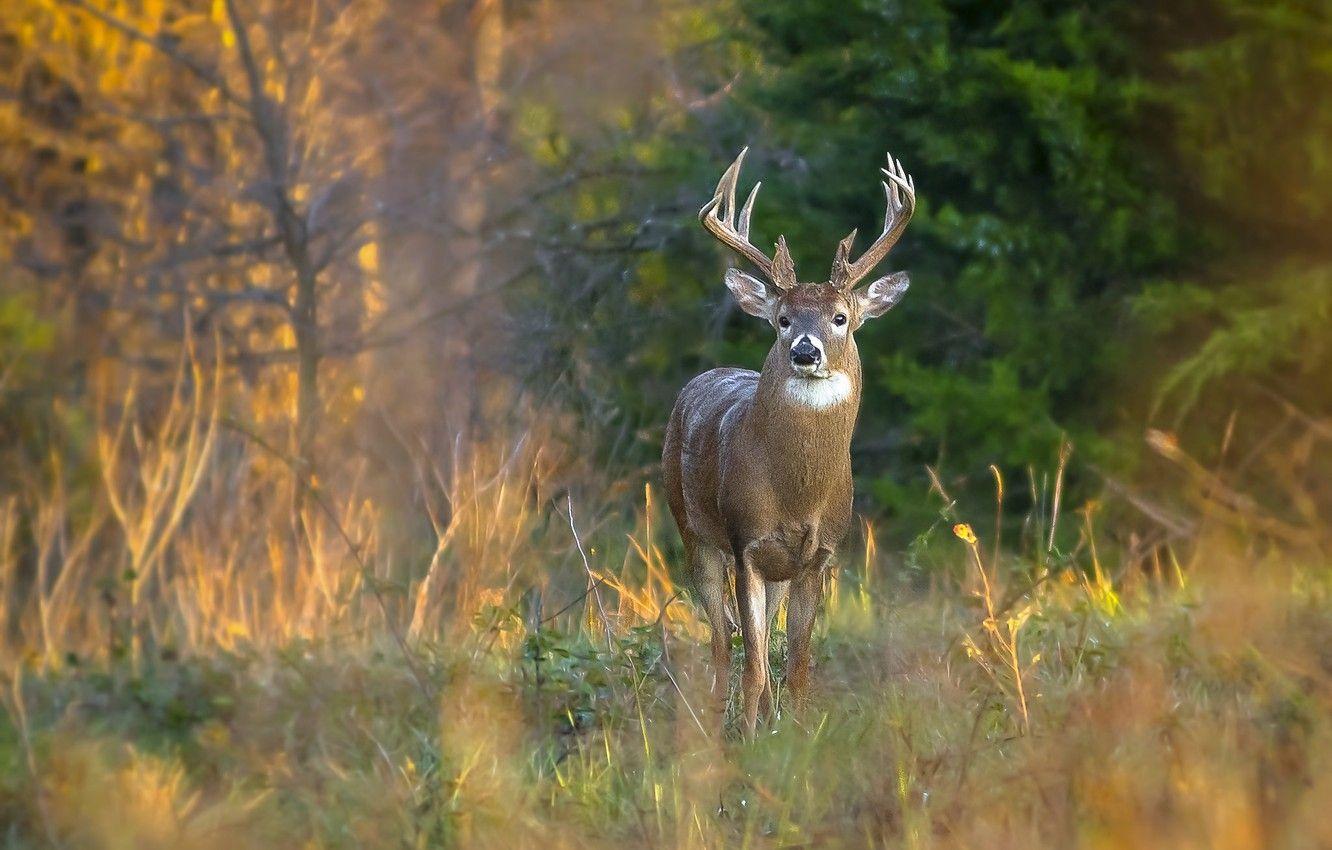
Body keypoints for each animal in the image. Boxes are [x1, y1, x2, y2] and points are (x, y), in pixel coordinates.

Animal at [662, 148, 915, 738]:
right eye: (781, 319)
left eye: (840, 317)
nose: (805, 351)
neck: (797, 493)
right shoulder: (746, 544)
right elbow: (754, 664)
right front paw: (751, 739)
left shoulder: (818, 556)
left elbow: (797, 665)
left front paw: (795, 737)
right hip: (694, 532)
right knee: (720, 639)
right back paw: (716, 725)